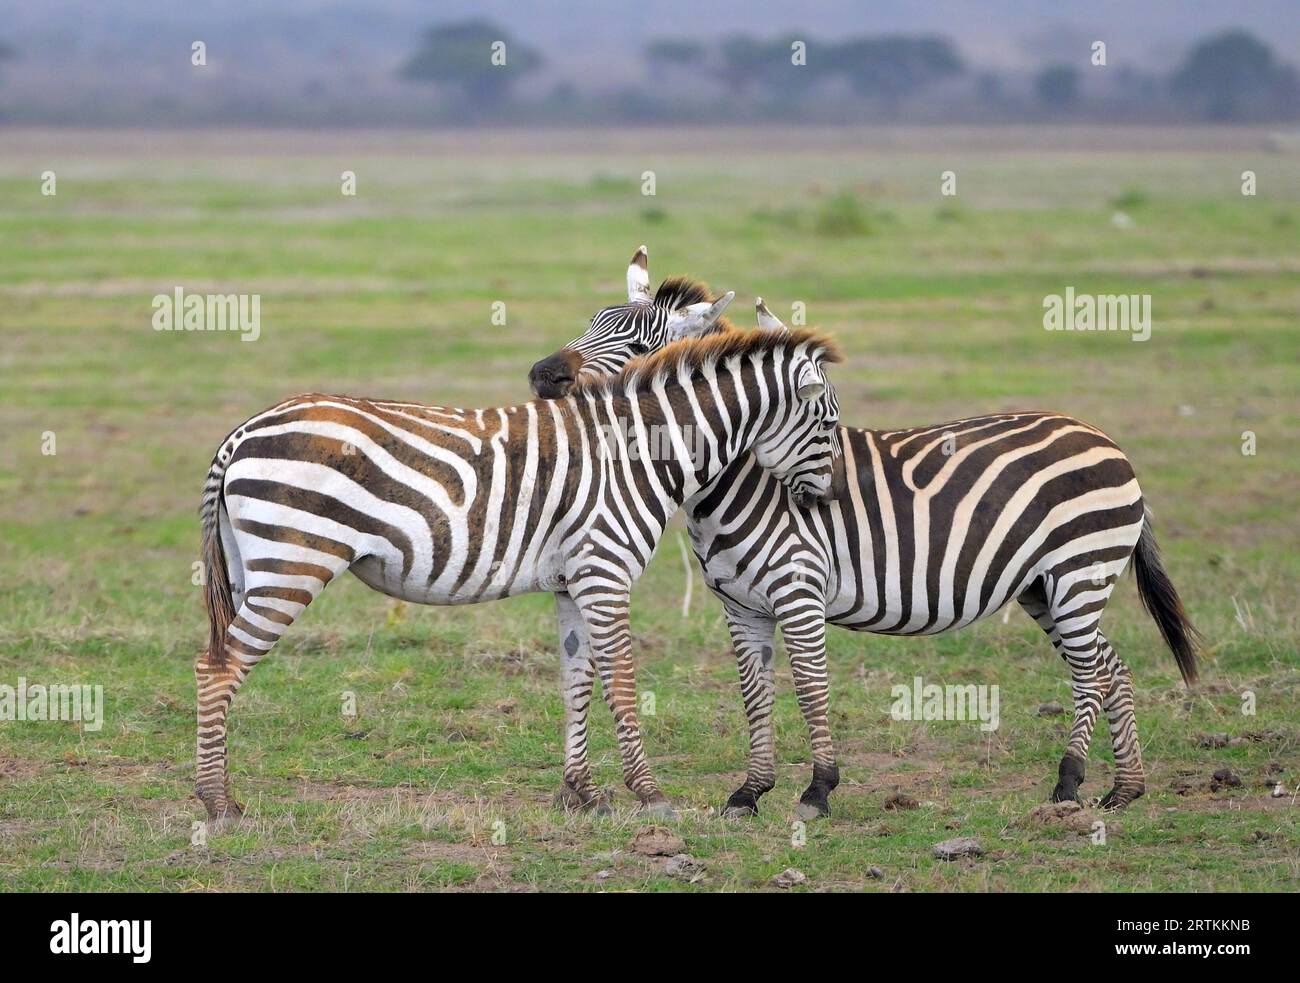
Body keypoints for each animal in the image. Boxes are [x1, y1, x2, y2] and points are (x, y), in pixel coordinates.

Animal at [192, 318, 842, 826]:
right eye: (830, 427)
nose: (831, 497)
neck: (637, 451)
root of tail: (243, 431)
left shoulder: (574, 584)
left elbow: (577, 680)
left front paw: (582, 795)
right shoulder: (606, 572)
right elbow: (622, 682)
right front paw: (650, 796)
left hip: (253, 569)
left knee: (217, 660)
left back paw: (221, 797)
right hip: (292, 565)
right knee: (217, 666)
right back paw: (218, 806)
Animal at [525, 249, 1196, 816]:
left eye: (639, 342)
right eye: (592, 322)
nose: (541, 376)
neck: (740, 480)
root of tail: (1104, 437)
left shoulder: (798, 590)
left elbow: (810, 687)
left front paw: (818, 790)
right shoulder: (740, 605)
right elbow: (755, 694)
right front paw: (749, 793)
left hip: (1078, 571)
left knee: (1093, 672)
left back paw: (1068, 782)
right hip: (1043, 587)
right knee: (1114, 666)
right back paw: (1124, 790)